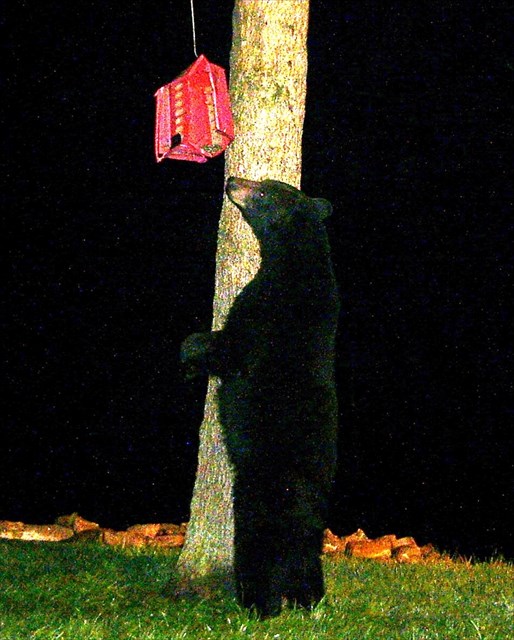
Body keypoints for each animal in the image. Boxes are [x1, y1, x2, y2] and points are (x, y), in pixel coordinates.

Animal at [180, 177, 339, 617]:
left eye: (265, 191)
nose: (233, 181)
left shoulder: (260, 315)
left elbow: (225, 346)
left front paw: (189, 354)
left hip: (256, 500)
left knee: (257, 555)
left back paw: (259, 605)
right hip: (311, 530)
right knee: (308, 565)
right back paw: (308, 601)